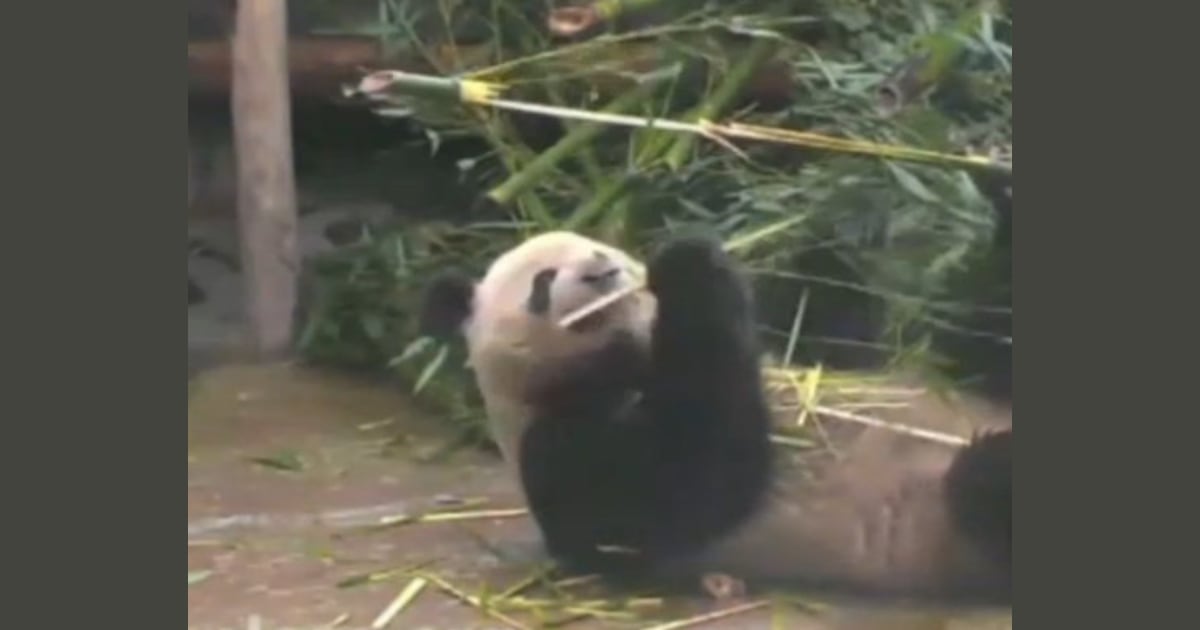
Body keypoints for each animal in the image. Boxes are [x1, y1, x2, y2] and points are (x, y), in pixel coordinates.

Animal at [420, 230, 1011, 604]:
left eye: (603, 249)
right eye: (542, 281)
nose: (601, 271)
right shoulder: (560, 443)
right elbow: (688, 483)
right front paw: (688, 266)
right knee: (980, 493)